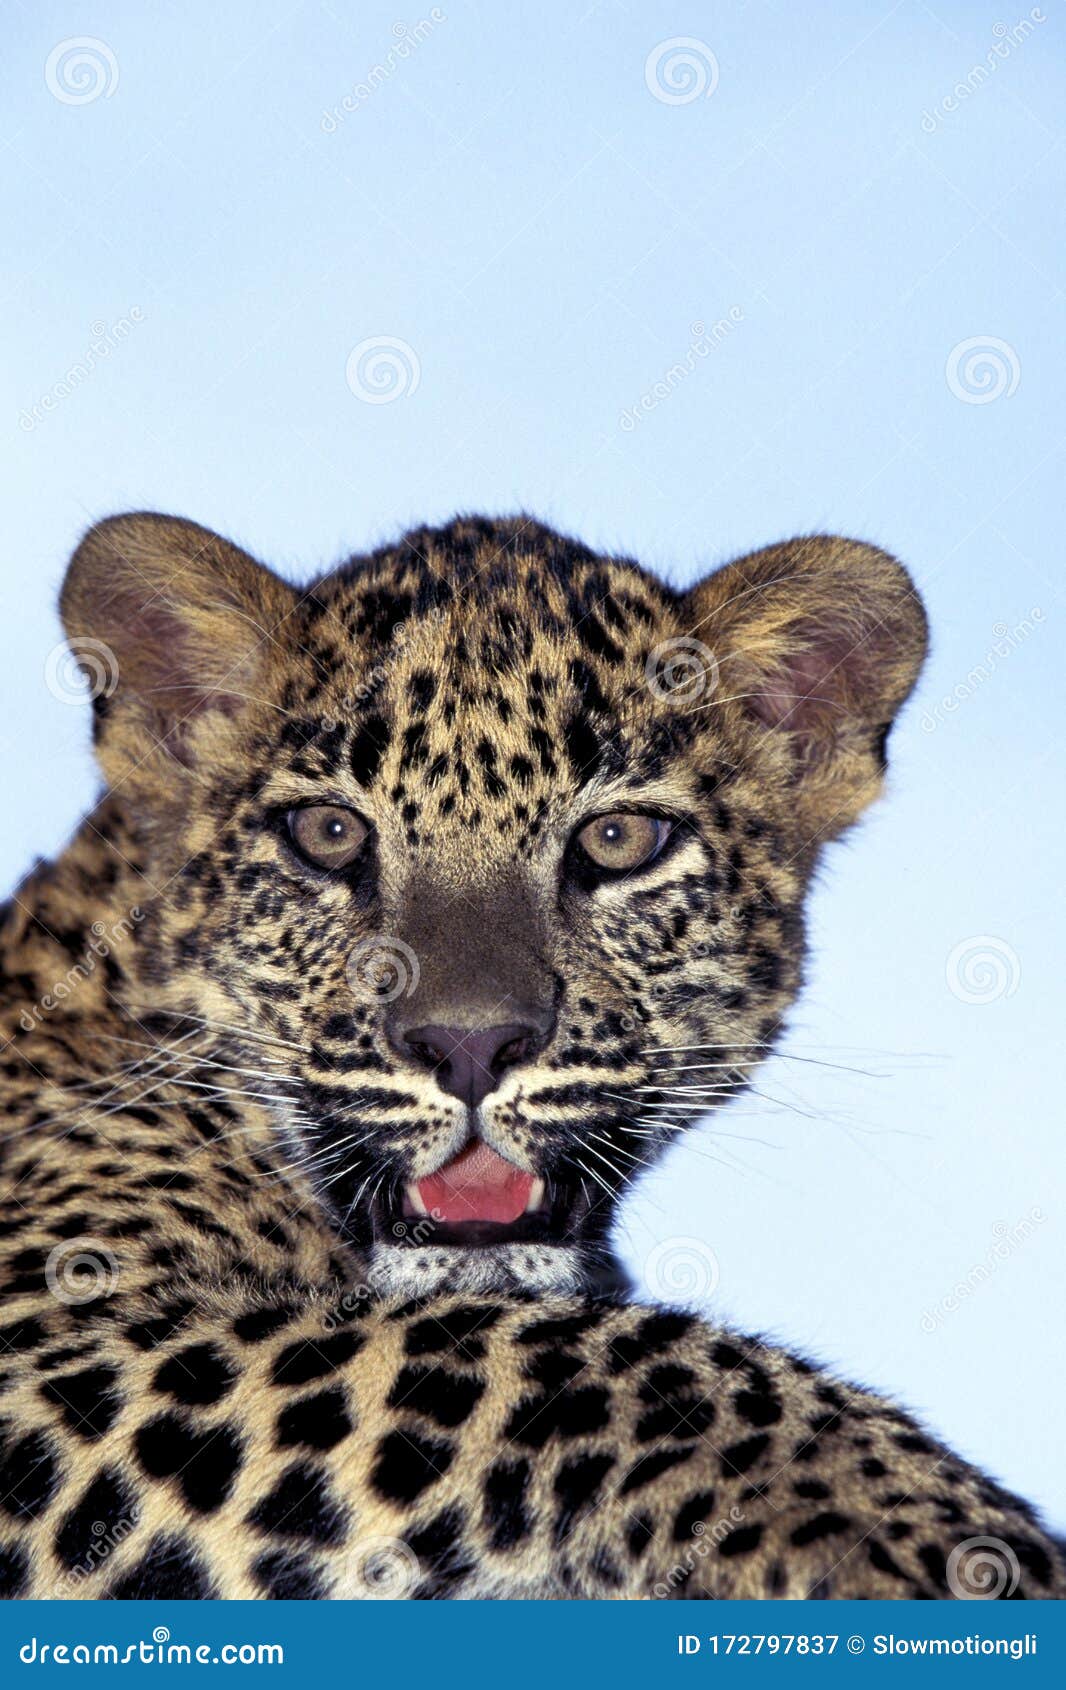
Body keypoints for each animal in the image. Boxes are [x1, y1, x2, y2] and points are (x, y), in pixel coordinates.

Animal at [0, 509, 1061, 1601]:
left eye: (620, 838)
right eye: (327, 833)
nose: (469, 1045)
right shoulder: (62, 1335)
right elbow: (575, 1354)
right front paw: (899, 1508)